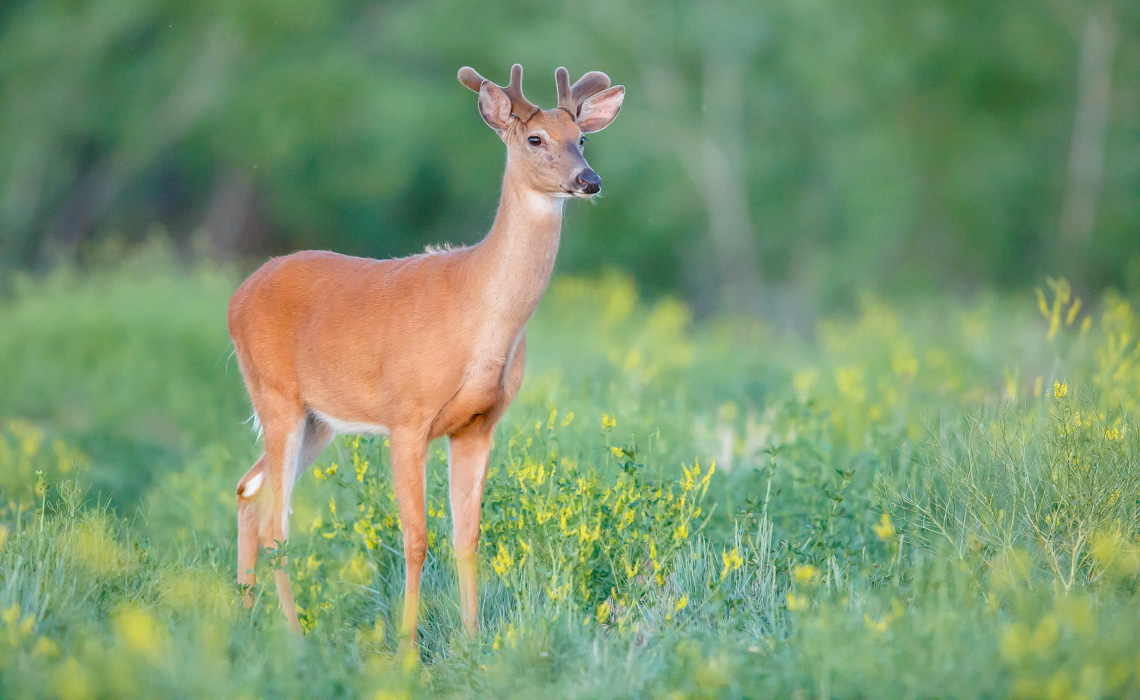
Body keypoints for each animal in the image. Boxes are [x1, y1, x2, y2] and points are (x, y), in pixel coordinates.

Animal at [226, 63, 624, 646]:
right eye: (535, 138)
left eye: (582, 138)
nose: (588, 180)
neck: (478, 317)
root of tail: (236, 298)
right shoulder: (406, 415)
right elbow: (416, 539)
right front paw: (407, 646)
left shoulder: (479, 424)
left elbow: (468, 537)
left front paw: (473, 639)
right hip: (276, 395)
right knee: (277, 518)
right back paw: (293, 637)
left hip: (317, 419)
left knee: (250, 493)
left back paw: (248, 617)